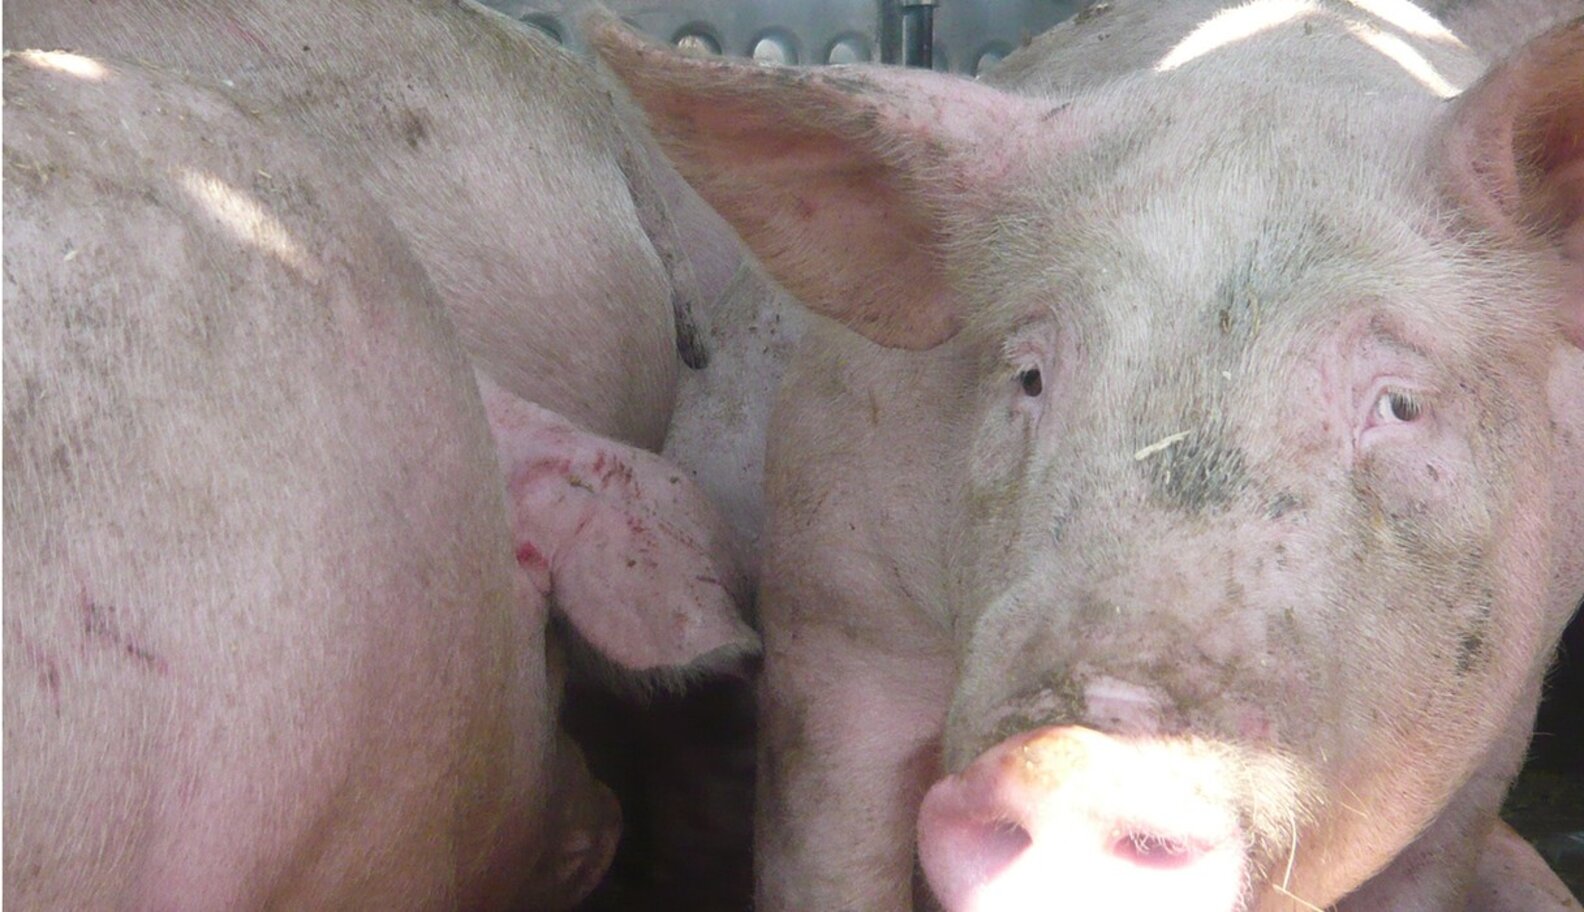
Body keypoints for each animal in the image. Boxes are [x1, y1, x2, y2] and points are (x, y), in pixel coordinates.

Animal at [590, 4, 1584, 910]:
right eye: (1029, 375)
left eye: (1401, 404)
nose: (1069, 766)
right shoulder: (833, 611)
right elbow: (828, 849)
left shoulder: (1494, 728)